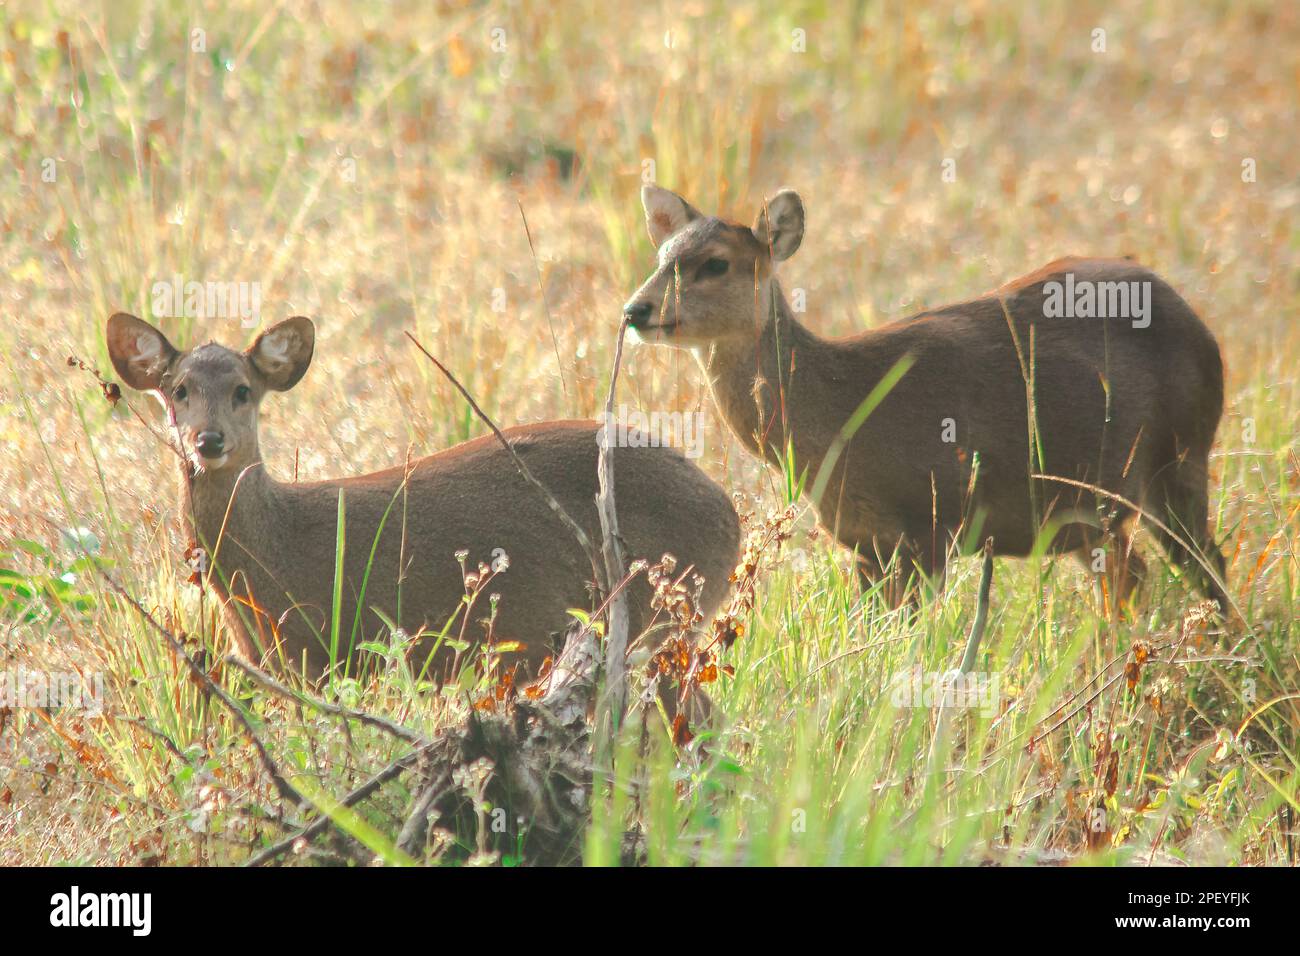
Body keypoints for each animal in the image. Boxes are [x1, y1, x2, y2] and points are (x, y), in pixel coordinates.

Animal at [105, 312, 741, 680]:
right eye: (178, 391)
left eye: (243, 390)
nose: (208, 440)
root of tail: (731, 514)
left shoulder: (328, 651)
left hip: (658, 612)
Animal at [622, 185, 1229, 615]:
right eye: (661, 255)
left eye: (716, 262)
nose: (635, 310)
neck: (839, 414)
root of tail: (1195, 319)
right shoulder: (865, 542)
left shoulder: (932, 525)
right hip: (1088, 510)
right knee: (1132, 580)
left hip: (1180, 455)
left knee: (1208, 566)